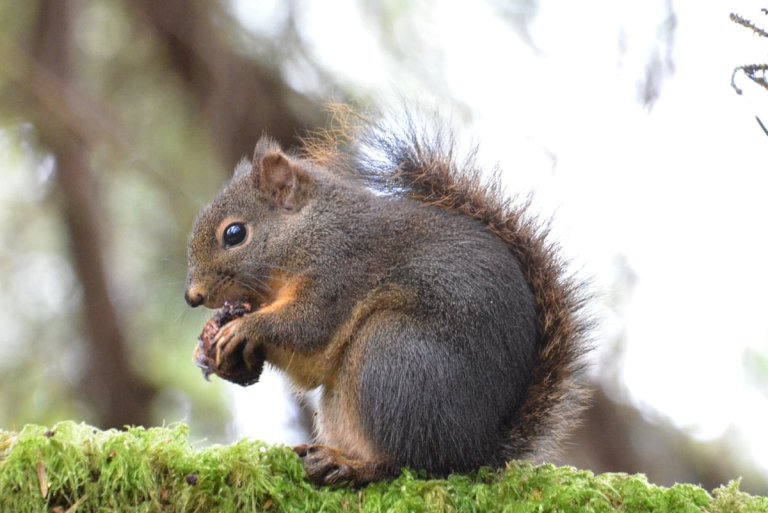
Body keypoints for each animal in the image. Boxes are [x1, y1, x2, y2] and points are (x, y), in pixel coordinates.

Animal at [184, 108, 590, 486]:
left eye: (235, 234)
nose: (192, 296)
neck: (309, 230)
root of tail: (476, 451)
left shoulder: (341, 269)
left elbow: (309, 328)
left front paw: (244, 328)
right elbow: (309, 368)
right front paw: (211, 347)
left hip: (392, 355)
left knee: (406, 462)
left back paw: (351, 465)